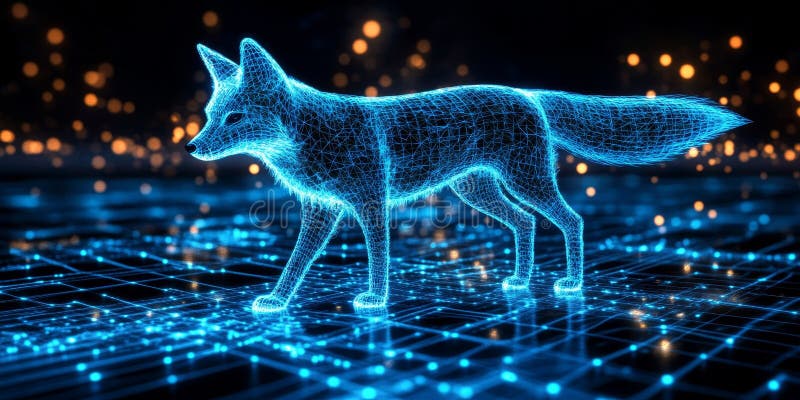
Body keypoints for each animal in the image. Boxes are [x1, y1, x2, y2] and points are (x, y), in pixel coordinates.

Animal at [186, 38, 748, 312]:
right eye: (212, 114)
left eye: (234, 118)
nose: (193, 147)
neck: (306, 138)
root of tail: (529, 93)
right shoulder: (320, 212)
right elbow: (296, 264)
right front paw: (277, 302)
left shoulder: (369, 203)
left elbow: (378, 258)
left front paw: (375, 301)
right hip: (476, 190)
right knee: (527, 224)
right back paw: (521, 281)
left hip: (524, 182)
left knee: (571, 220)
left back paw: (570, 283)